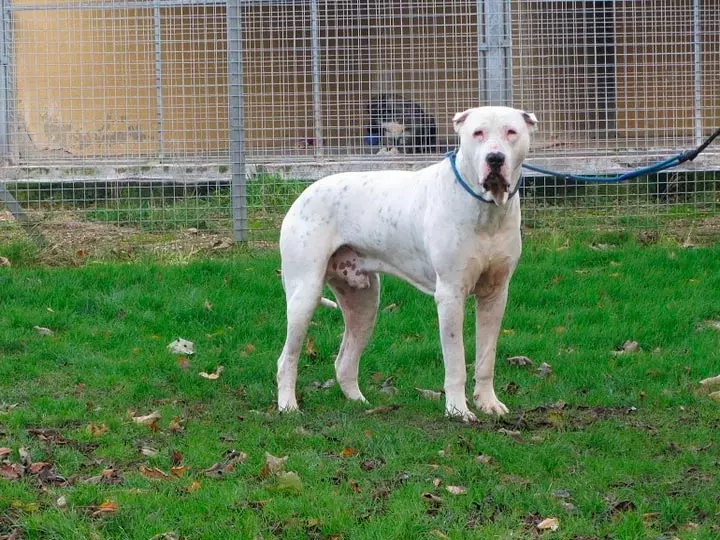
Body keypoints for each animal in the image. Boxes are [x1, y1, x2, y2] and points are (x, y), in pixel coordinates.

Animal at [278, 104, 536, 418]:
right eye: (478, 133)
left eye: (511, 132)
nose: (495, 158)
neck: (486, 210)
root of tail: (303, 194)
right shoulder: (451, 295)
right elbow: (456, 362)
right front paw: (457, 410)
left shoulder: (495, 295)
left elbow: (486, 356)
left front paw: (488, 402)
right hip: (305, 296)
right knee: (287, 359)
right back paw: (288, 406)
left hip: (364, 303)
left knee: (344, 360)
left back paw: (359, 402)